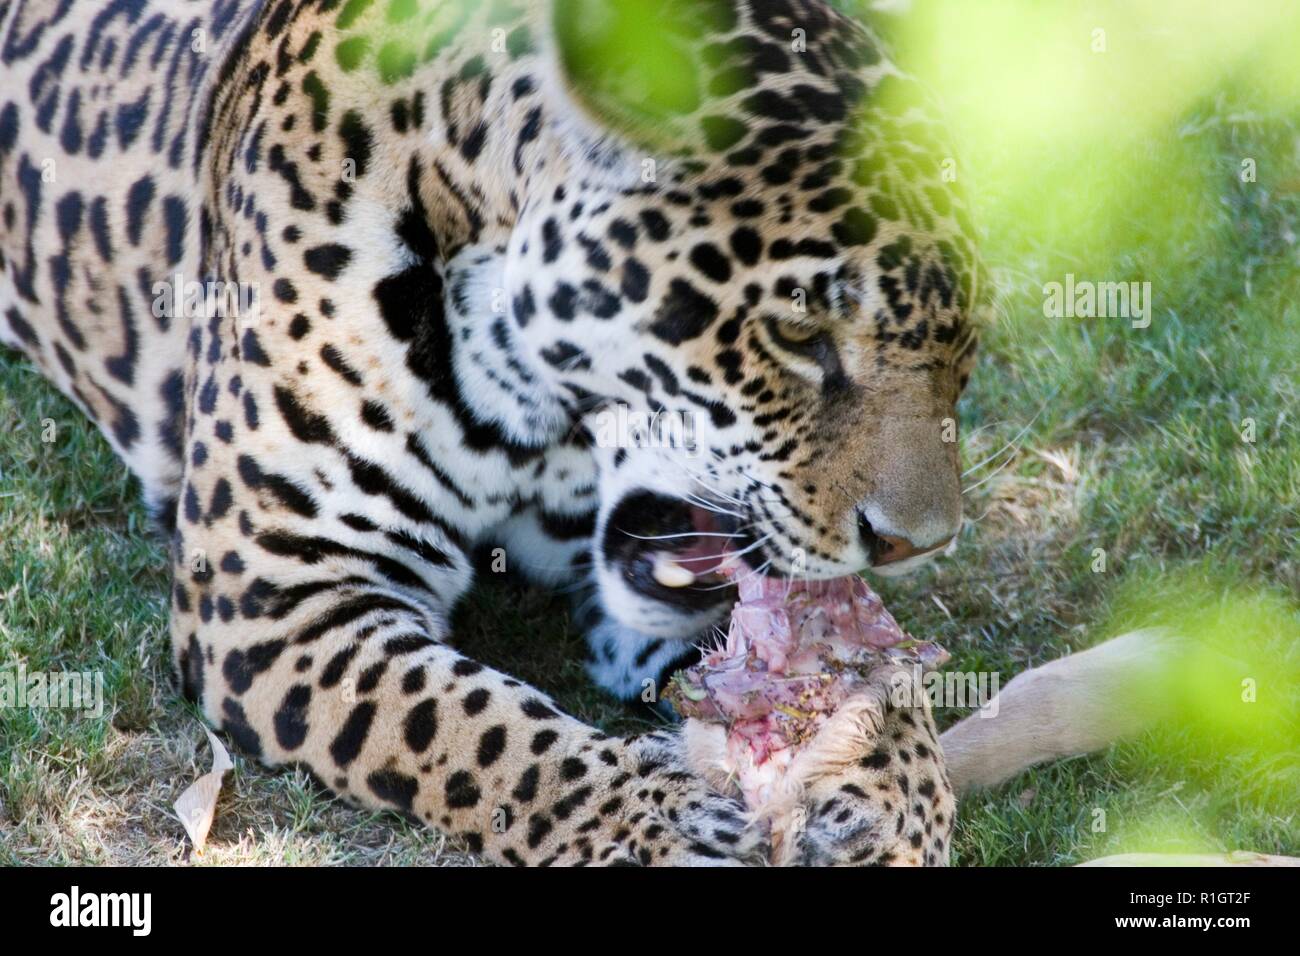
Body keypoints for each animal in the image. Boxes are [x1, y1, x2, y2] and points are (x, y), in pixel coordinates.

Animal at [0, 0, 980, 866]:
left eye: (966, 345)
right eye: (799, 332)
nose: (914, 544)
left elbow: (861, 684)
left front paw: (891, 796)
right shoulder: (276, 589)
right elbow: (474, 725)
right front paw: (661, 822)